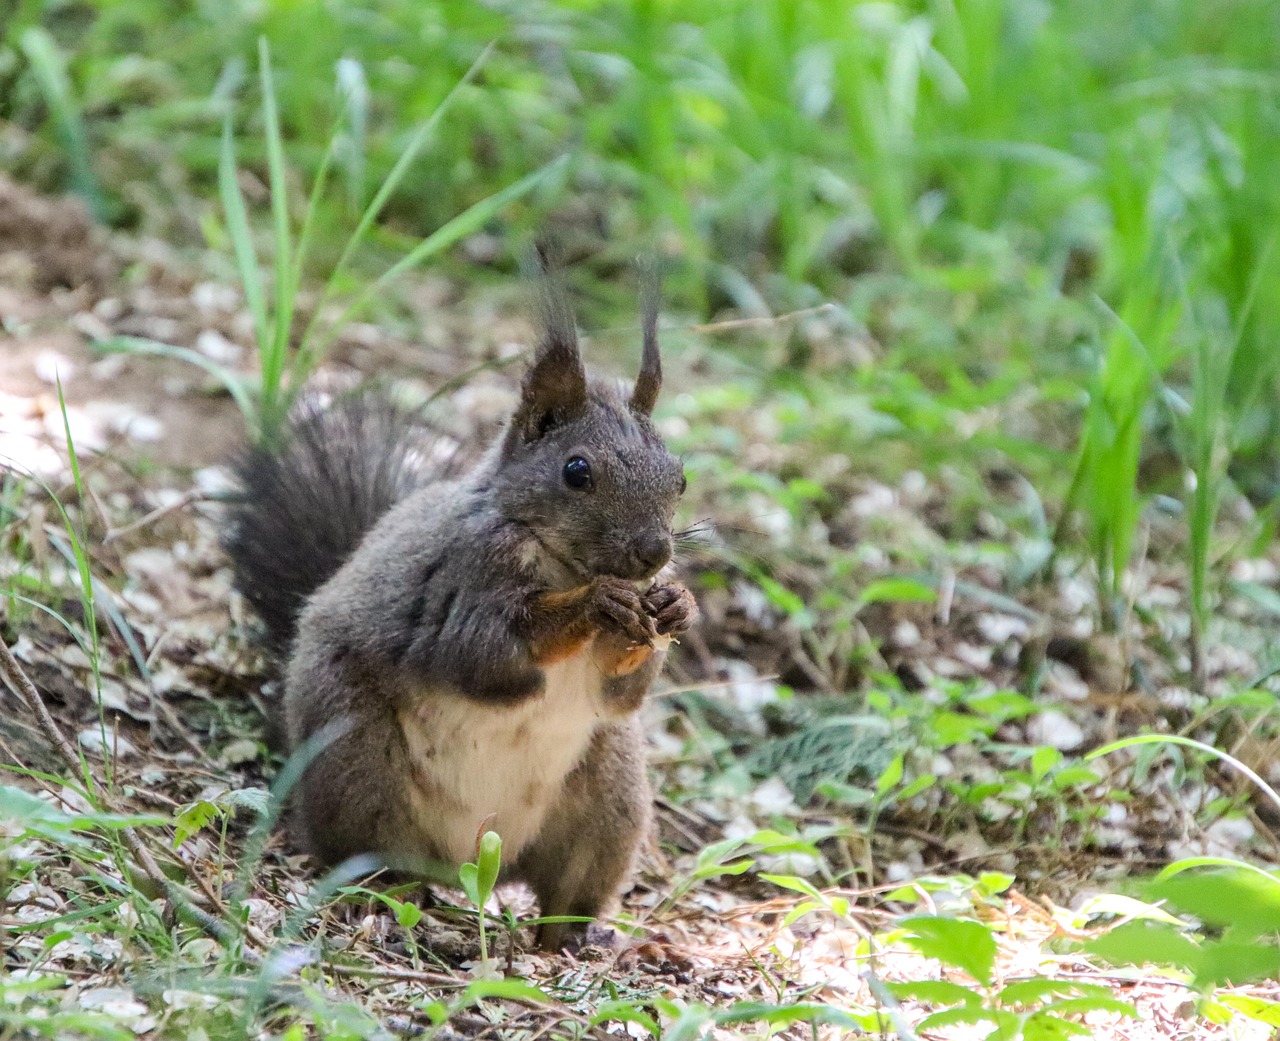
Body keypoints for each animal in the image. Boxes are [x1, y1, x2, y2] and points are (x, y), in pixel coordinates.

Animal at [223, 276, 698, 948]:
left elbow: (620, 694)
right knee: (371, 856)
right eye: (576, 471)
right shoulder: (466, 579)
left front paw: (676, 604)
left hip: (610, 795)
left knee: (568, 886)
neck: (563, 563)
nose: (654, 552)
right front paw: (594, 605)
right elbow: (484, 658)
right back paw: (392, 895)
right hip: (357, 760)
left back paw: (573, 937)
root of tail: (471, 861)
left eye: (679, 478)